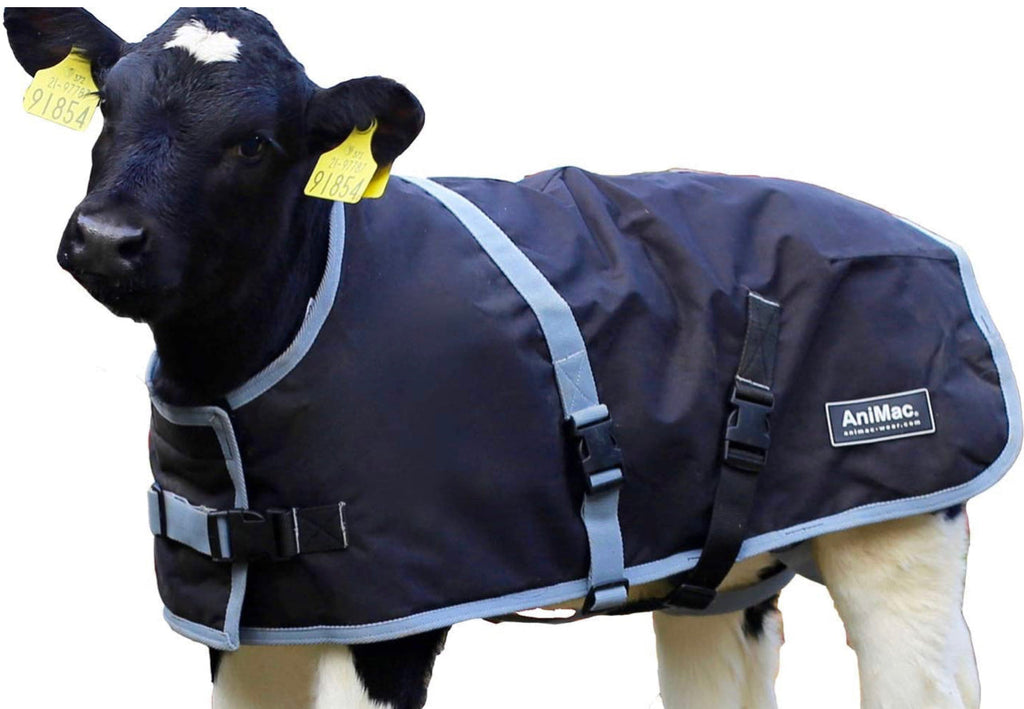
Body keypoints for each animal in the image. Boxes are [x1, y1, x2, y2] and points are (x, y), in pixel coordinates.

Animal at [5, 7, 1014, 709]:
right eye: (107, 106)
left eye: (255, 142)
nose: (105, 239)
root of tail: (914, 232)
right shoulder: (246, 628)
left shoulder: (388, 620)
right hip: (727, 579)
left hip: (903, 536)